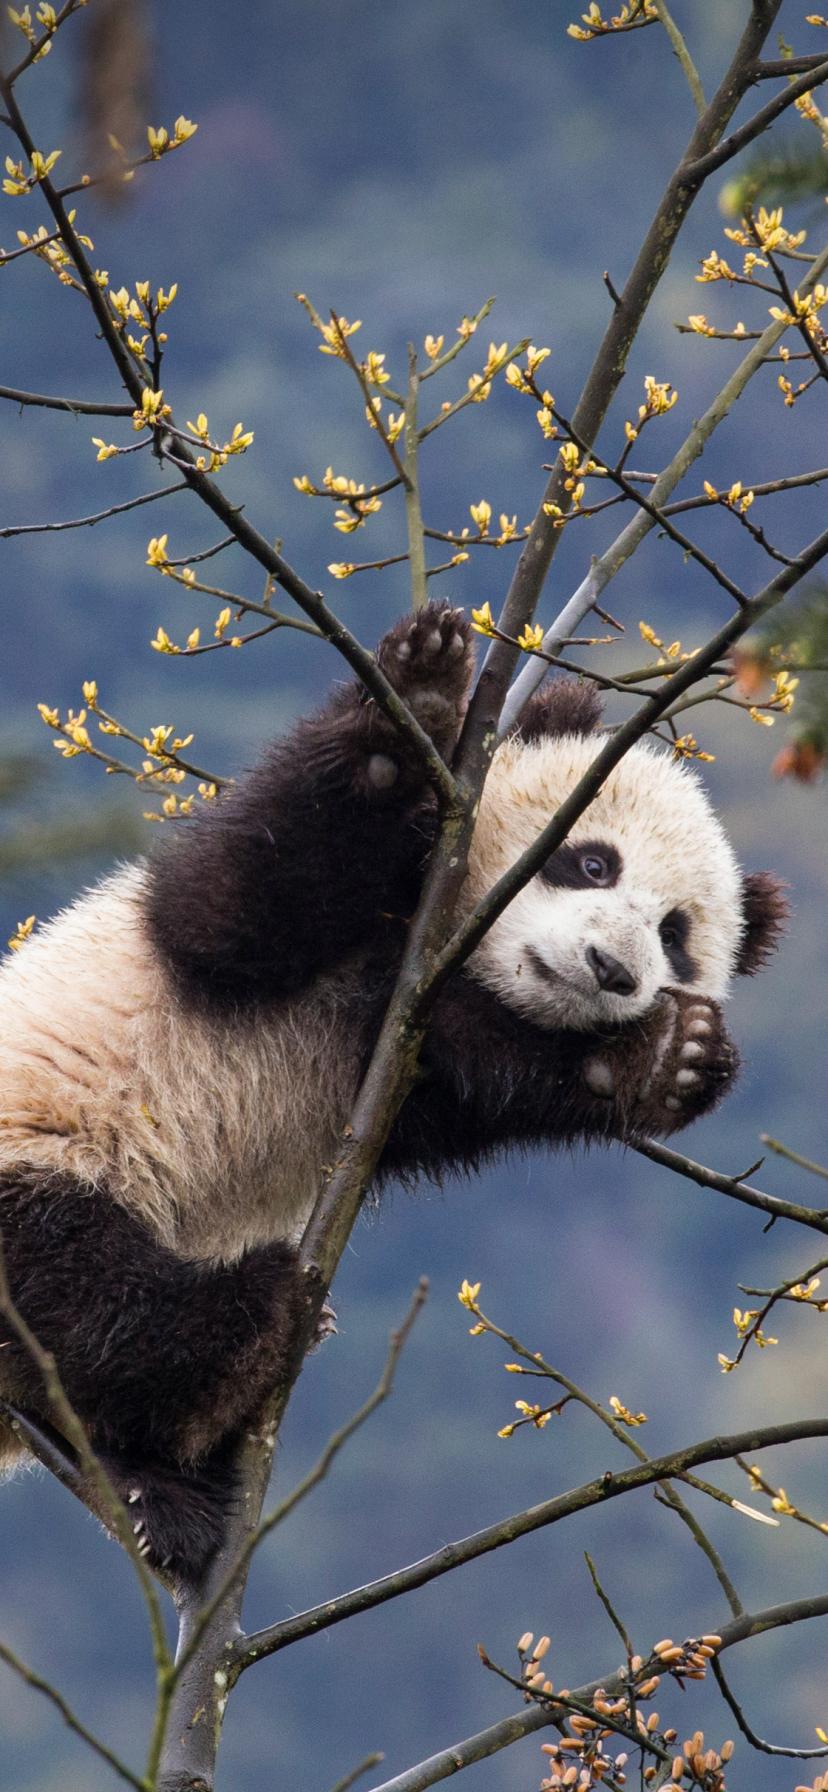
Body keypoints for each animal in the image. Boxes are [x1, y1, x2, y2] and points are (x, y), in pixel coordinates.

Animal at [0, 601, 785, 1586]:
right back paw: (250, 1330)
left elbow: (472, 1079)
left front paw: (667, 1057)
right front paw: (415, 702)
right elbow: (234, 908)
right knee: (83, 1296)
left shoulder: (405, 1051)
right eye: (593, 863)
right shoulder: (232, 927)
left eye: (675, 937)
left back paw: (167, 1487)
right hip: (40, 1157)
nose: (611, 970)